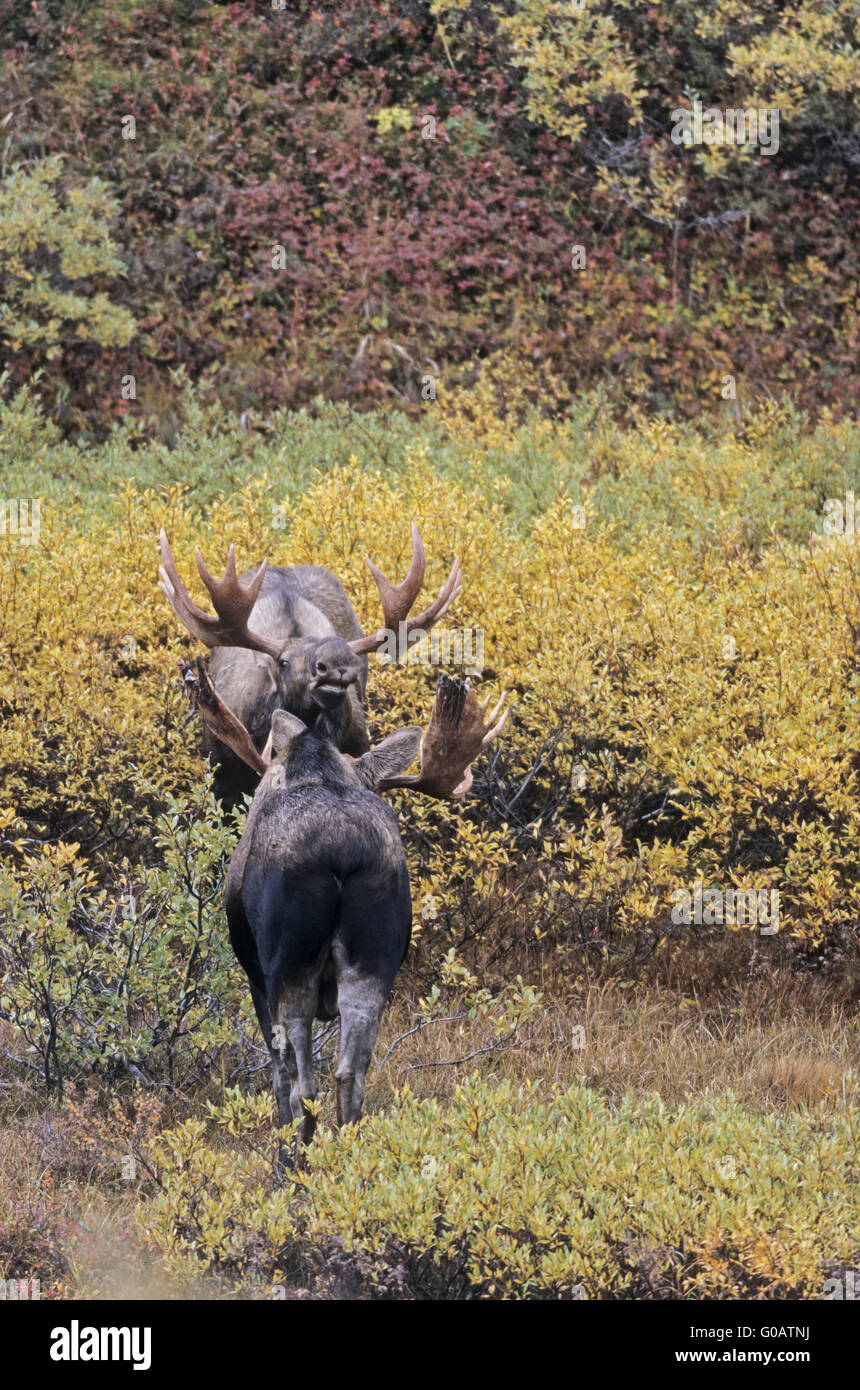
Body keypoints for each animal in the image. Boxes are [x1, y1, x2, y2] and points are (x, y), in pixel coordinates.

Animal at [178, 658, 507, 1170]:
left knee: (302, 1083)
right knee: (351, 1073)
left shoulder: (256, 978)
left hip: (289, 962)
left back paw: (293, 1167)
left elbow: (278, 1076)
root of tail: (341, 852)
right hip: (374, 957)